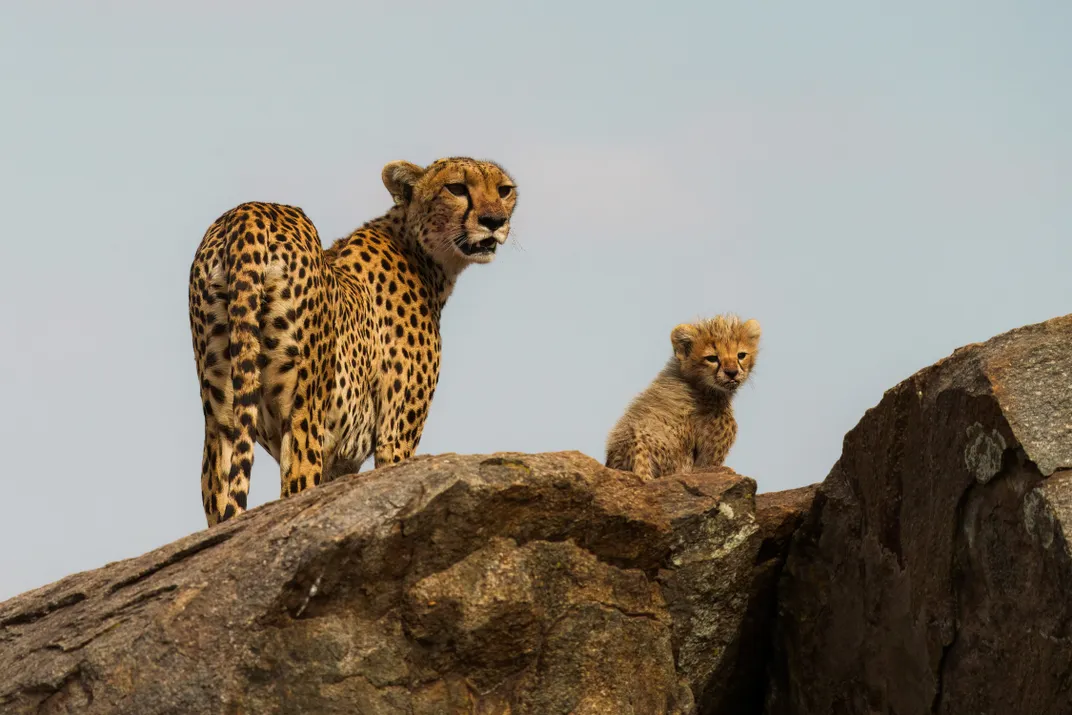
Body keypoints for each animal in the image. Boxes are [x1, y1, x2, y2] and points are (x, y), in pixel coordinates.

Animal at [188, 157, 518, 526]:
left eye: (504, 190)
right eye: (456, 188)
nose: (494, 221)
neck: (419, 250)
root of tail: (251, 211)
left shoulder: (342, 460)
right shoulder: (394, 438)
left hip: (220, 416)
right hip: (304, 414)